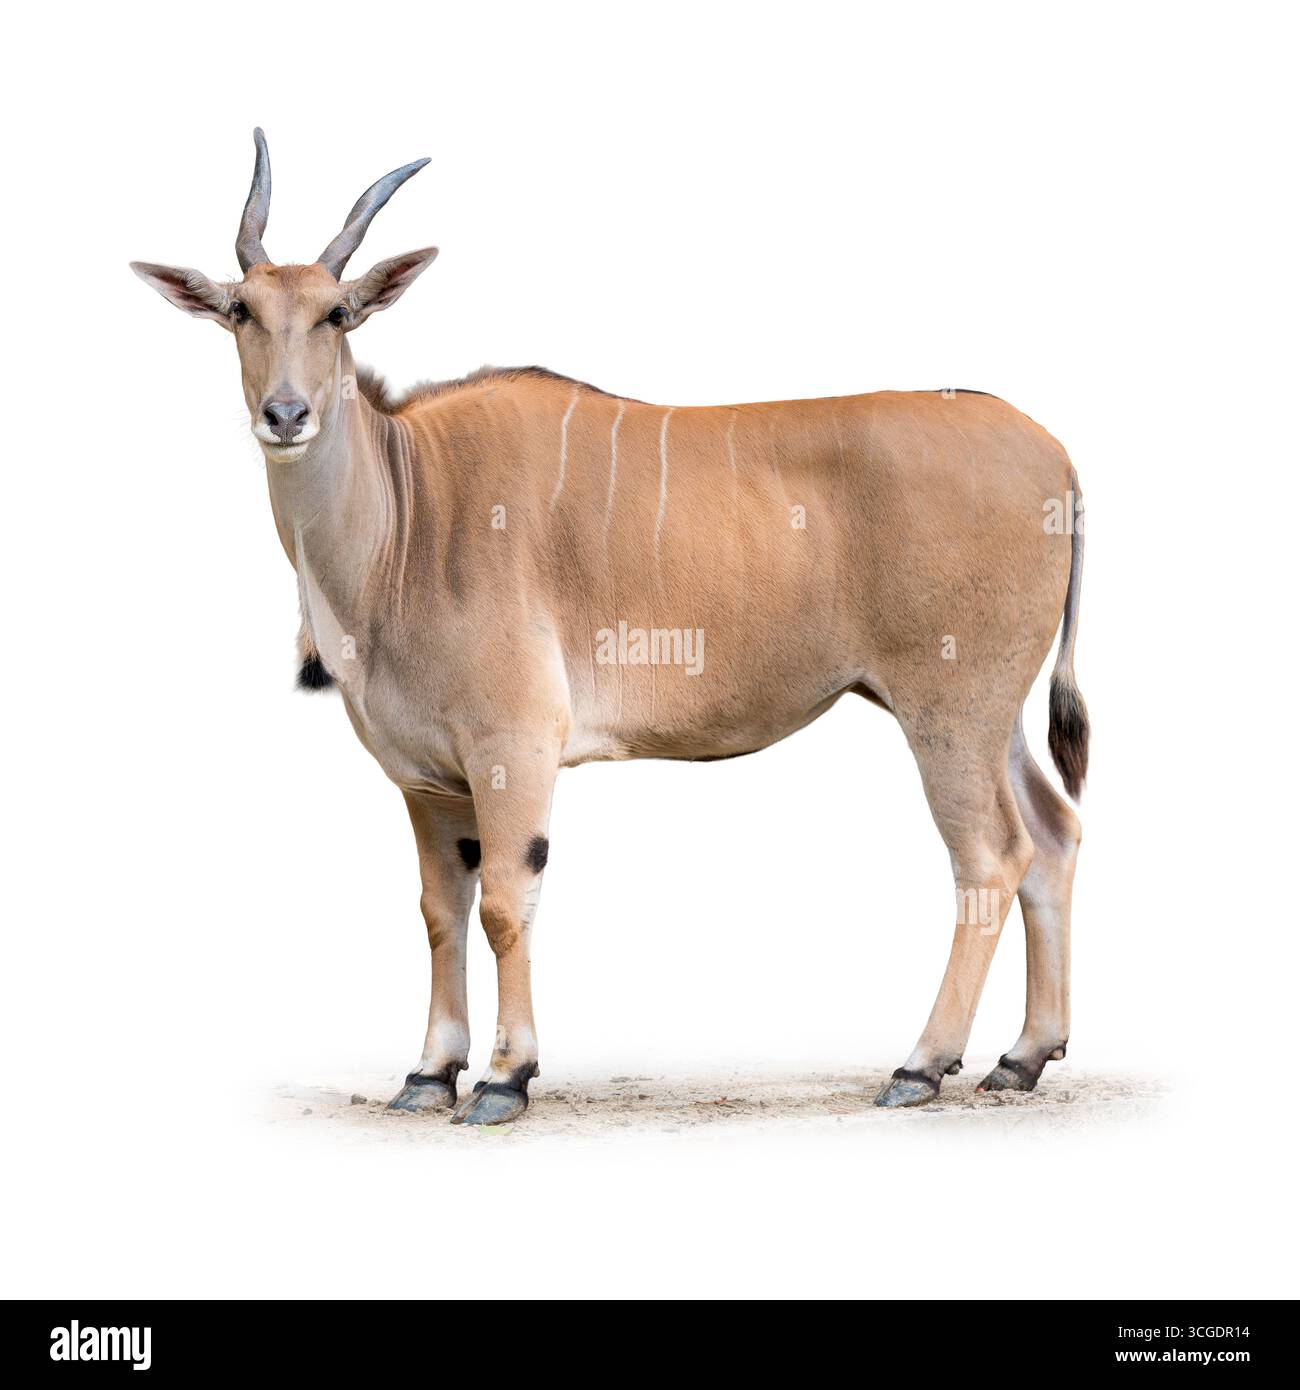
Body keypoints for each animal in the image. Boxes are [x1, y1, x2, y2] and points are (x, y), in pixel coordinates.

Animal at [132, 131, 1089, 1125]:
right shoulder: (429, 780)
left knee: (991, 857)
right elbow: (440, 912)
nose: (285, 415)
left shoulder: (513, 749)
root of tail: (1055, 456)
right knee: (1053, 834)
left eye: (337, 313)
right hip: (993, 717)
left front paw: (504, 1077)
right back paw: (1023, 1056)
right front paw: (429, 1072)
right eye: (241, 310)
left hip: (949, 712)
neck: (408, 510)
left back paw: (922, 1064)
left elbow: (503, 903)